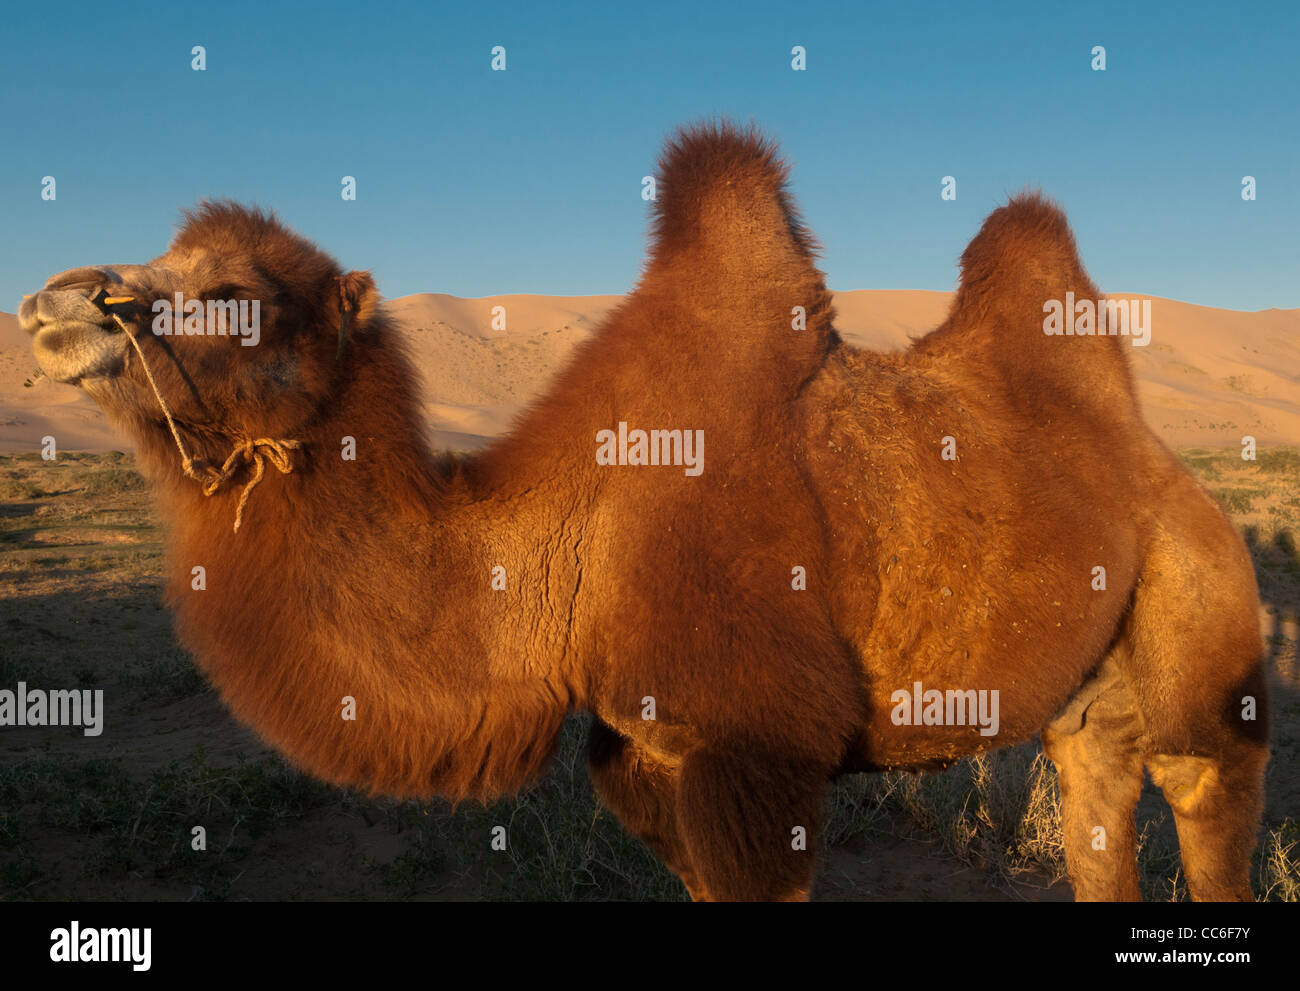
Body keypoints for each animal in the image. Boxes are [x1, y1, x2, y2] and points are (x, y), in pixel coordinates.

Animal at [19, 122, 1268, 901]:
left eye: (233, 291)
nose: (56, 300)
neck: (562, 546)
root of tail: (1174, 475)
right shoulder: (643, 758)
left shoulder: (756, 753)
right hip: (1087, 692)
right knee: (1099, 782)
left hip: (1205, 607)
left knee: (1206, 785)